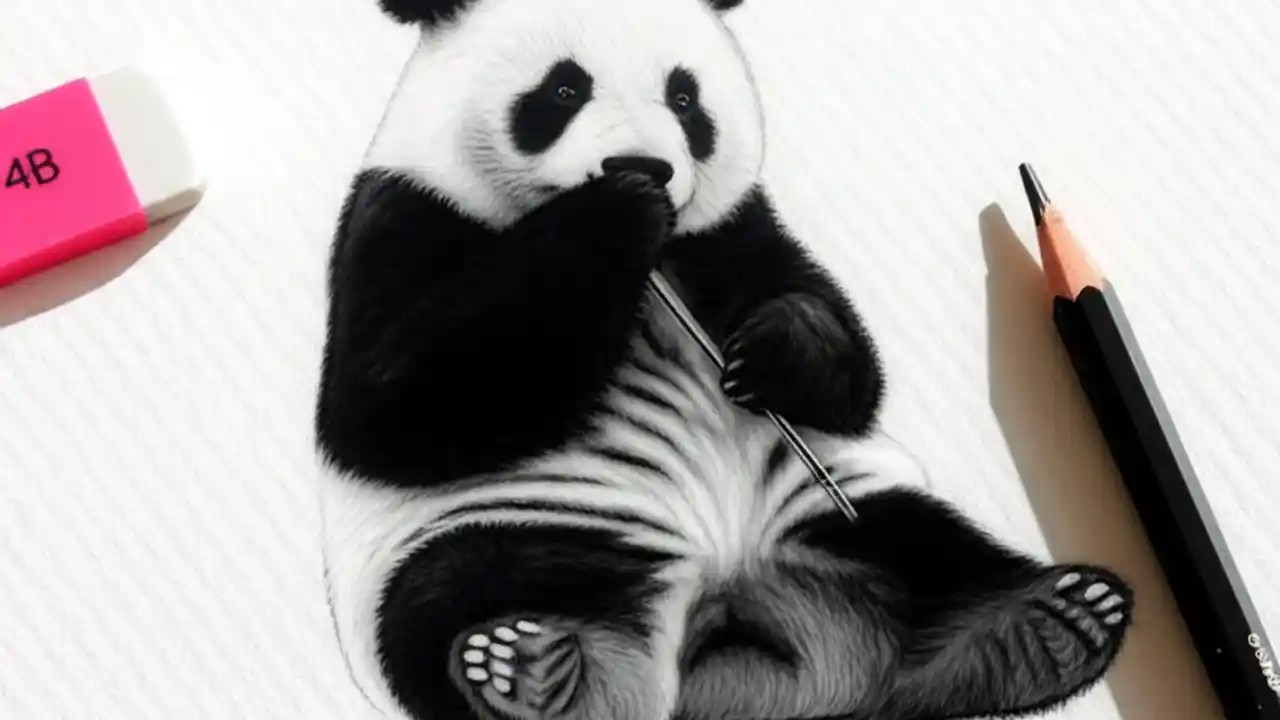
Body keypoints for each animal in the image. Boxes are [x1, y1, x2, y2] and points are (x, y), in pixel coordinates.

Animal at [315, 0, 1134, 718]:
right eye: (563, 89)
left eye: (685, 97)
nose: (643, 166)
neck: (650, 272)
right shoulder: (406, 209)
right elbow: (390, 408)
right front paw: (614, 212)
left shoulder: (732, 228)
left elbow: (848, 364)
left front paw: (771, 352)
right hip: (523, 529)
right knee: (454, 590)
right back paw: (538, 672)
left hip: (836, 508)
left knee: (928, 551)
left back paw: (1048, 623)